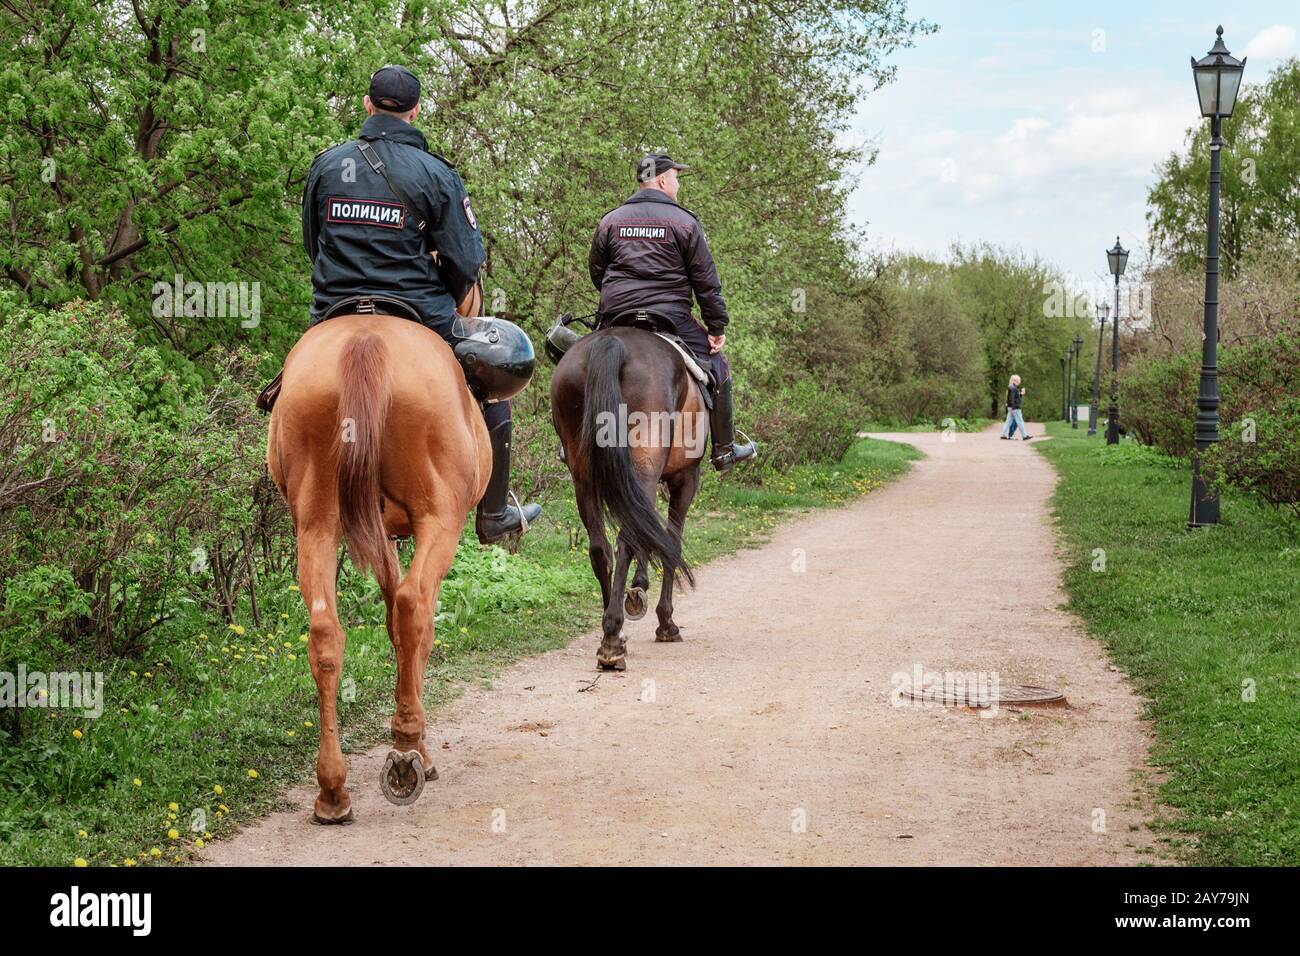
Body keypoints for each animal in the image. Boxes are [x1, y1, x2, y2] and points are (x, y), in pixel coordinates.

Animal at [267, 310, 490, 822]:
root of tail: (365, 340)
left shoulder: (378, 532)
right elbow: (415, 632)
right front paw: (419, 744)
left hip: (317, 523)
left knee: (326, 634)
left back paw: (332, 790)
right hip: (439, 519)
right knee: (414, 607)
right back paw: (407, 750)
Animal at [550, 327, 705, 671]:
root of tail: (613, 343)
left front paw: (638, 587)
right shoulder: (686, 477)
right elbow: (671, 542)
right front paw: (665, 622)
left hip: (583, 476)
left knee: (601, 547)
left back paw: (612, 632)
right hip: (646, 462)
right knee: (626, 541)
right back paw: (613, 639)